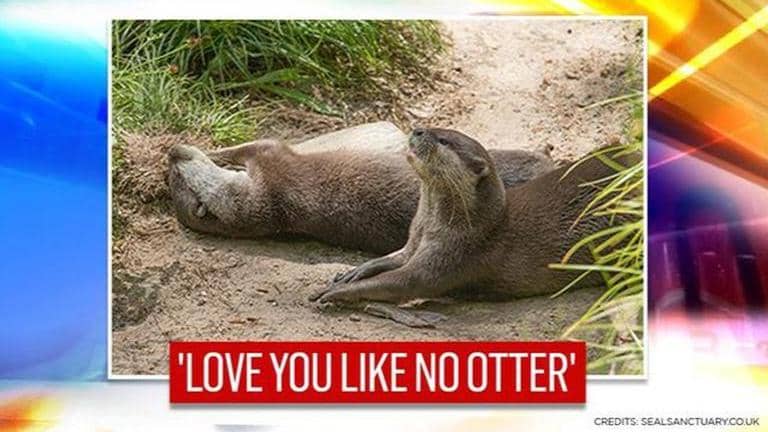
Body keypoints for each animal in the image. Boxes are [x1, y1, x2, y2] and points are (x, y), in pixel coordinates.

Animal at [168, 138, 555, 255]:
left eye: (176, 170)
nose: (172, 153)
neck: (272, 205)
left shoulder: (270, 161)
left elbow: (244, 147)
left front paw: (211, 149)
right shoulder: (271, 163)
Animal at [311, 128, 640, 306]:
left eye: (444, 141)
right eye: (436, 128)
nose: (417, 130)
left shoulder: (454, 254)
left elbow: (405, 281)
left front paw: (336, 291)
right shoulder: (415, 240)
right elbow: (394, 258)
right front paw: (355, 271)